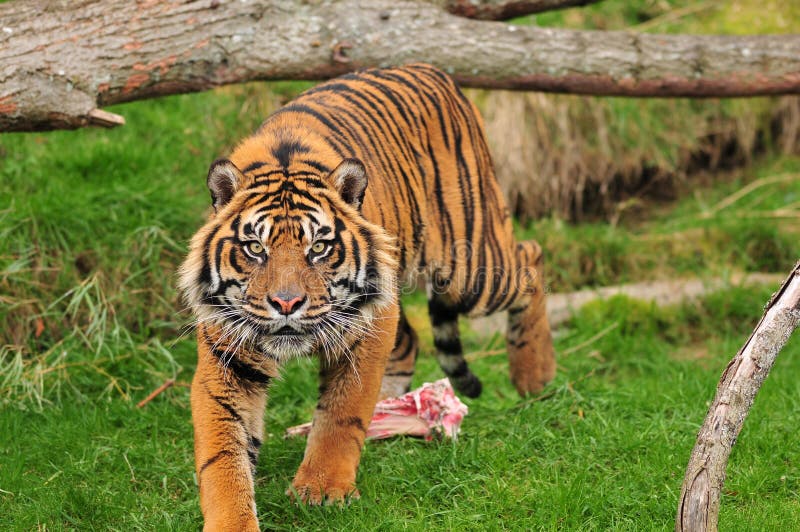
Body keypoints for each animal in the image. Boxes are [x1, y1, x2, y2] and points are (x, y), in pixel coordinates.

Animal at [178, 63, 555, 530]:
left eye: (319, 247)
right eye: (254, 248)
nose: (286, 304)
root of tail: (433, 69)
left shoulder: (368, 328)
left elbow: (341, 412)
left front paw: (322, 488)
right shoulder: (226, 360)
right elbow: (222, 456)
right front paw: (233, 518)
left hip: (468, 269)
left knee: (532, 257)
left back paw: (534, 377)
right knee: (411, 341)